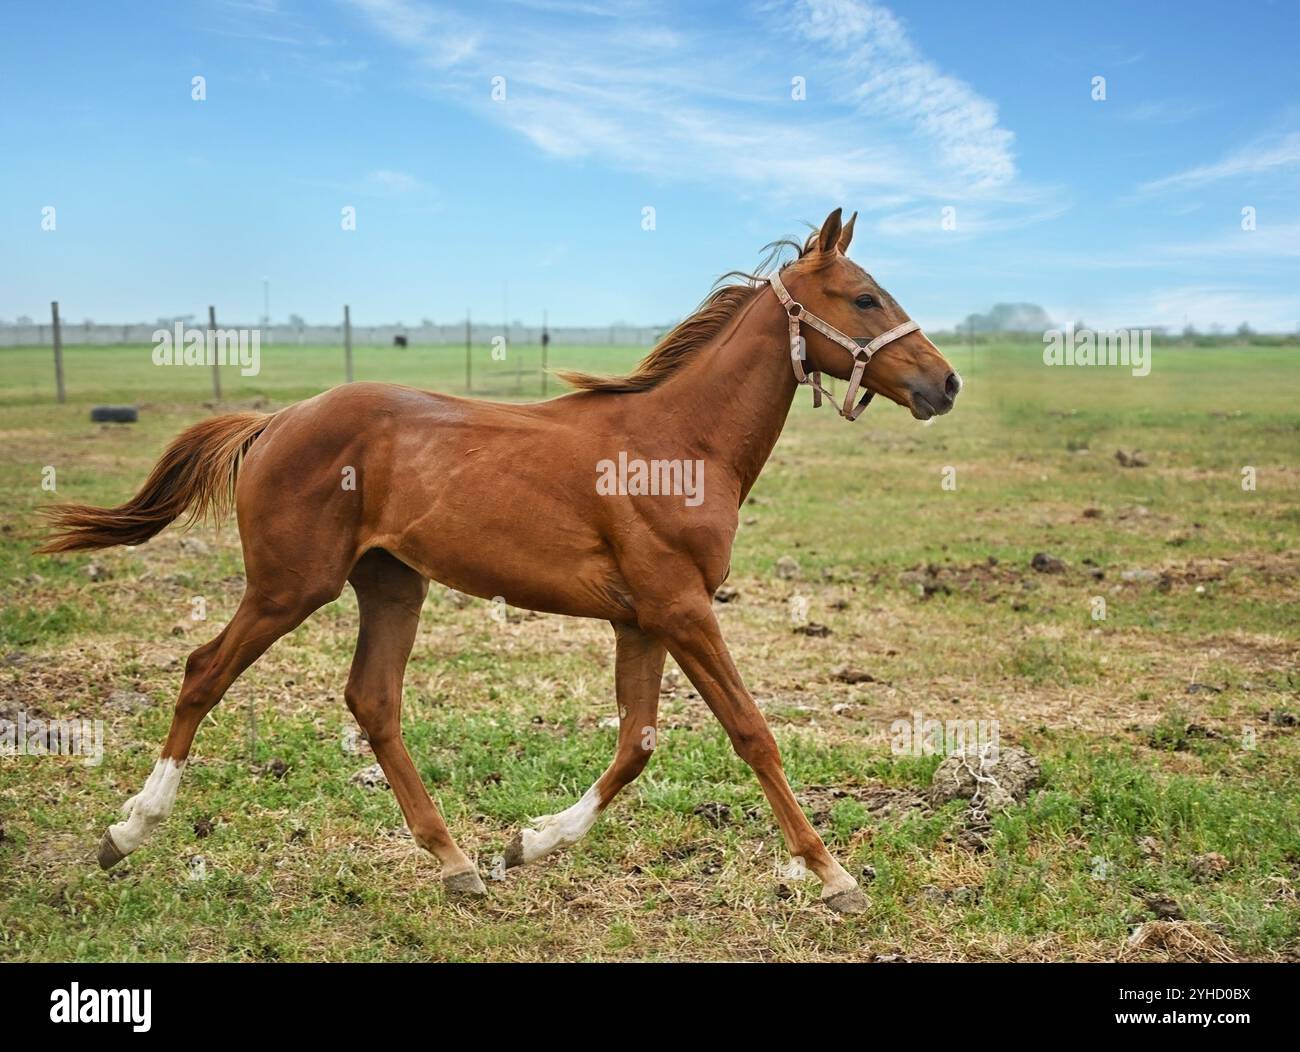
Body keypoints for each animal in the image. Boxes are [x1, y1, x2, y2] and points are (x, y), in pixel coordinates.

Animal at [41, 208, 960, 912]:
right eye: (865, 296)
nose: (945, 385)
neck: (680, 443)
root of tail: (273, 422)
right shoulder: (682, 608)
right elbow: (752, 733)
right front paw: (836, 878)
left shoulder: (644, 619)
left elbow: (637, 744)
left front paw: (526, 844)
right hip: (288, 587)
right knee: (204, 671)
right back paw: (127, 830)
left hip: (392, 586)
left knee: (373, 701)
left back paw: (456, 866)